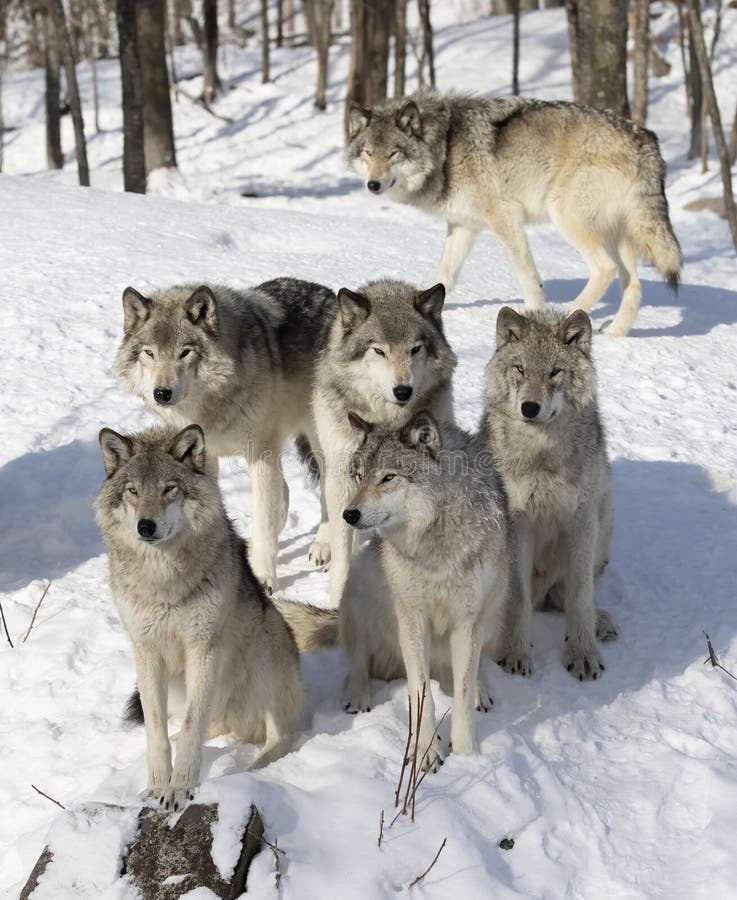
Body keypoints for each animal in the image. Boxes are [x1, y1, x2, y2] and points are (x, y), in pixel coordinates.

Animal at [94, 423, 302, 811]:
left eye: (168, 489)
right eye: (133, 491)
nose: (146, 527)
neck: (163, 581)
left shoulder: (203, 647)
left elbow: (194, 727)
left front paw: (180, 790)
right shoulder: (146, 651)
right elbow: (158, 731)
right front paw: (156, 788)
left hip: (265, 644)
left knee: (278, 736)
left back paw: (250, 772)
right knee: (210, 724)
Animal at [113, 277, 337, 593]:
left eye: (185, 352)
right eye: (149, 353)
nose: (161, 393)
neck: (210, 406)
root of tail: (330, 294)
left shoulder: (261, 454)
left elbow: (265, 517)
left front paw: (264, 578)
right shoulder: (204, 457)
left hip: (319, 440)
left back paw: (323, 548)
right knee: (284, 494)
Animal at [312, 278, 457, 608]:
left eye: (415, 349)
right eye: (379, 351)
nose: (403, 390)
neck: (387, 418)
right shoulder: (345, 477)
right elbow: (344, 550)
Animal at [346, 91, 682, 336]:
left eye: (394, 154)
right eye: (368, 154)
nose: (373, 184)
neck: (446, 147)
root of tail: (644, 136)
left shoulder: (504, 219)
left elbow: (528, 276)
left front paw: (533, 317)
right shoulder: (463, 227)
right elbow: (444, 276)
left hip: (568, 218)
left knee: (605, 269)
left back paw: (570, 315)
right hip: (617, 234)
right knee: (634, 285)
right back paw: (614, 333)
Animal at [482, 306, 619, 682]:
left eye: (555, 371)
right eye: (520, 369)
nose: (530, 407)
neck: (542, 454)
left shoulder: (582, 519)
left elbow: (581, 595)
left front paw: (583, 655)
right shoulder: (519, 522)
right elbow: (518, 599)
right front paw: (515, 654)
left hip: (604, 524)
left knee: (566, 595)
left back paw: (602, 621)